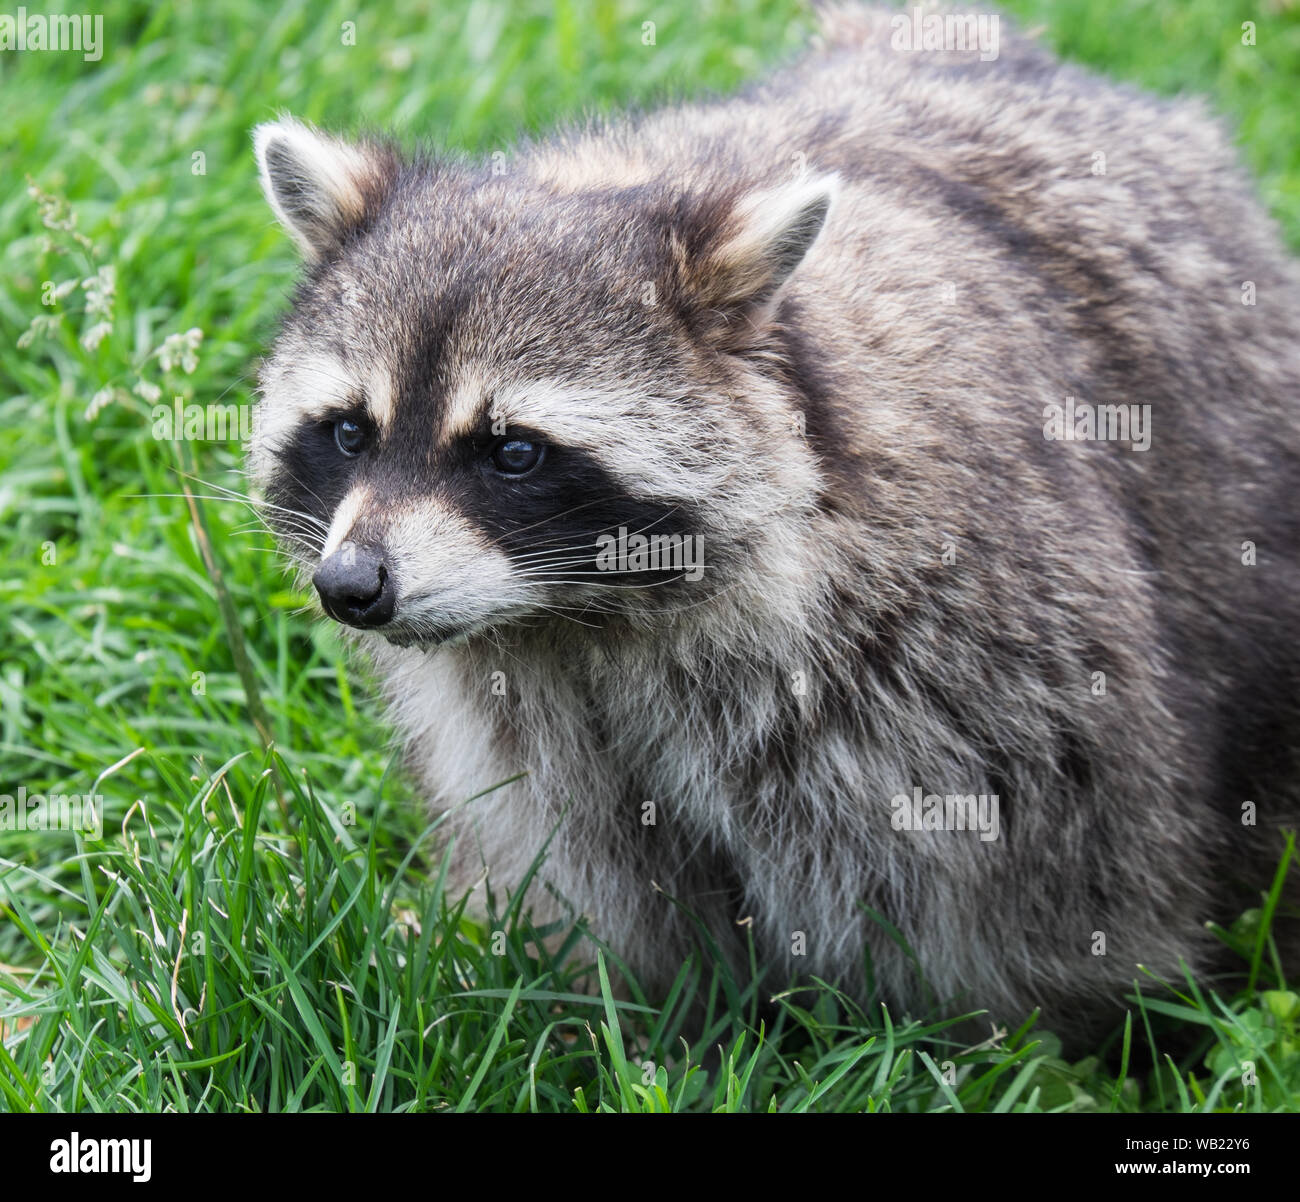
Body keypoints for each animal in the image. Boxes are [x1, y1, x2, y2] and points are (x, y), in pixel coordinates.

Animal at [249, 5, 1300, 1046]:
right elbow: (580, 862)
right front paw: (612, 1011)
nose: (351, 586)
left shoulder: (952, 660)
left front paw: (1005, 1031)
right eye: (350, 431)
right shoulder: (525, 715)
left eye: (511, 452)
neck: (575, 615)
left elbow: (1010, 882)